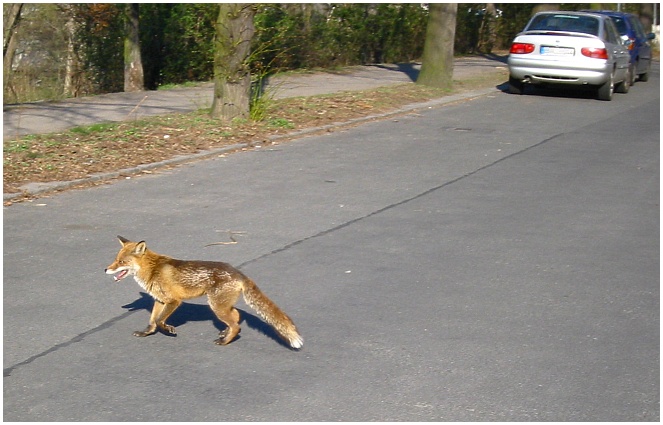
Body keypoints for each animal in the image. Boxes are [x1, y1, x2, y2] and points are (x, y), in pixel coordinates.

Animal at [104, 235, 304, 348]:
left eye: (121, 262)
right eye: (115, 259)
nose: (105, 269)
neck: (153, 269)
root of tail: (239, 273)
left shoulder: (174, 301)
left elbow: (160, 321)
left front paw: (169, 329)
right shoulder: (159, 300)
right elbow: (152, 321)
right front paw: (146, 333)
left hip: (216, 307)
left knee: (237, 324)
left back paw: (224, 341)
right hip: (221, 306)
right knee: (237, 316)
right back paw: (225, 333)